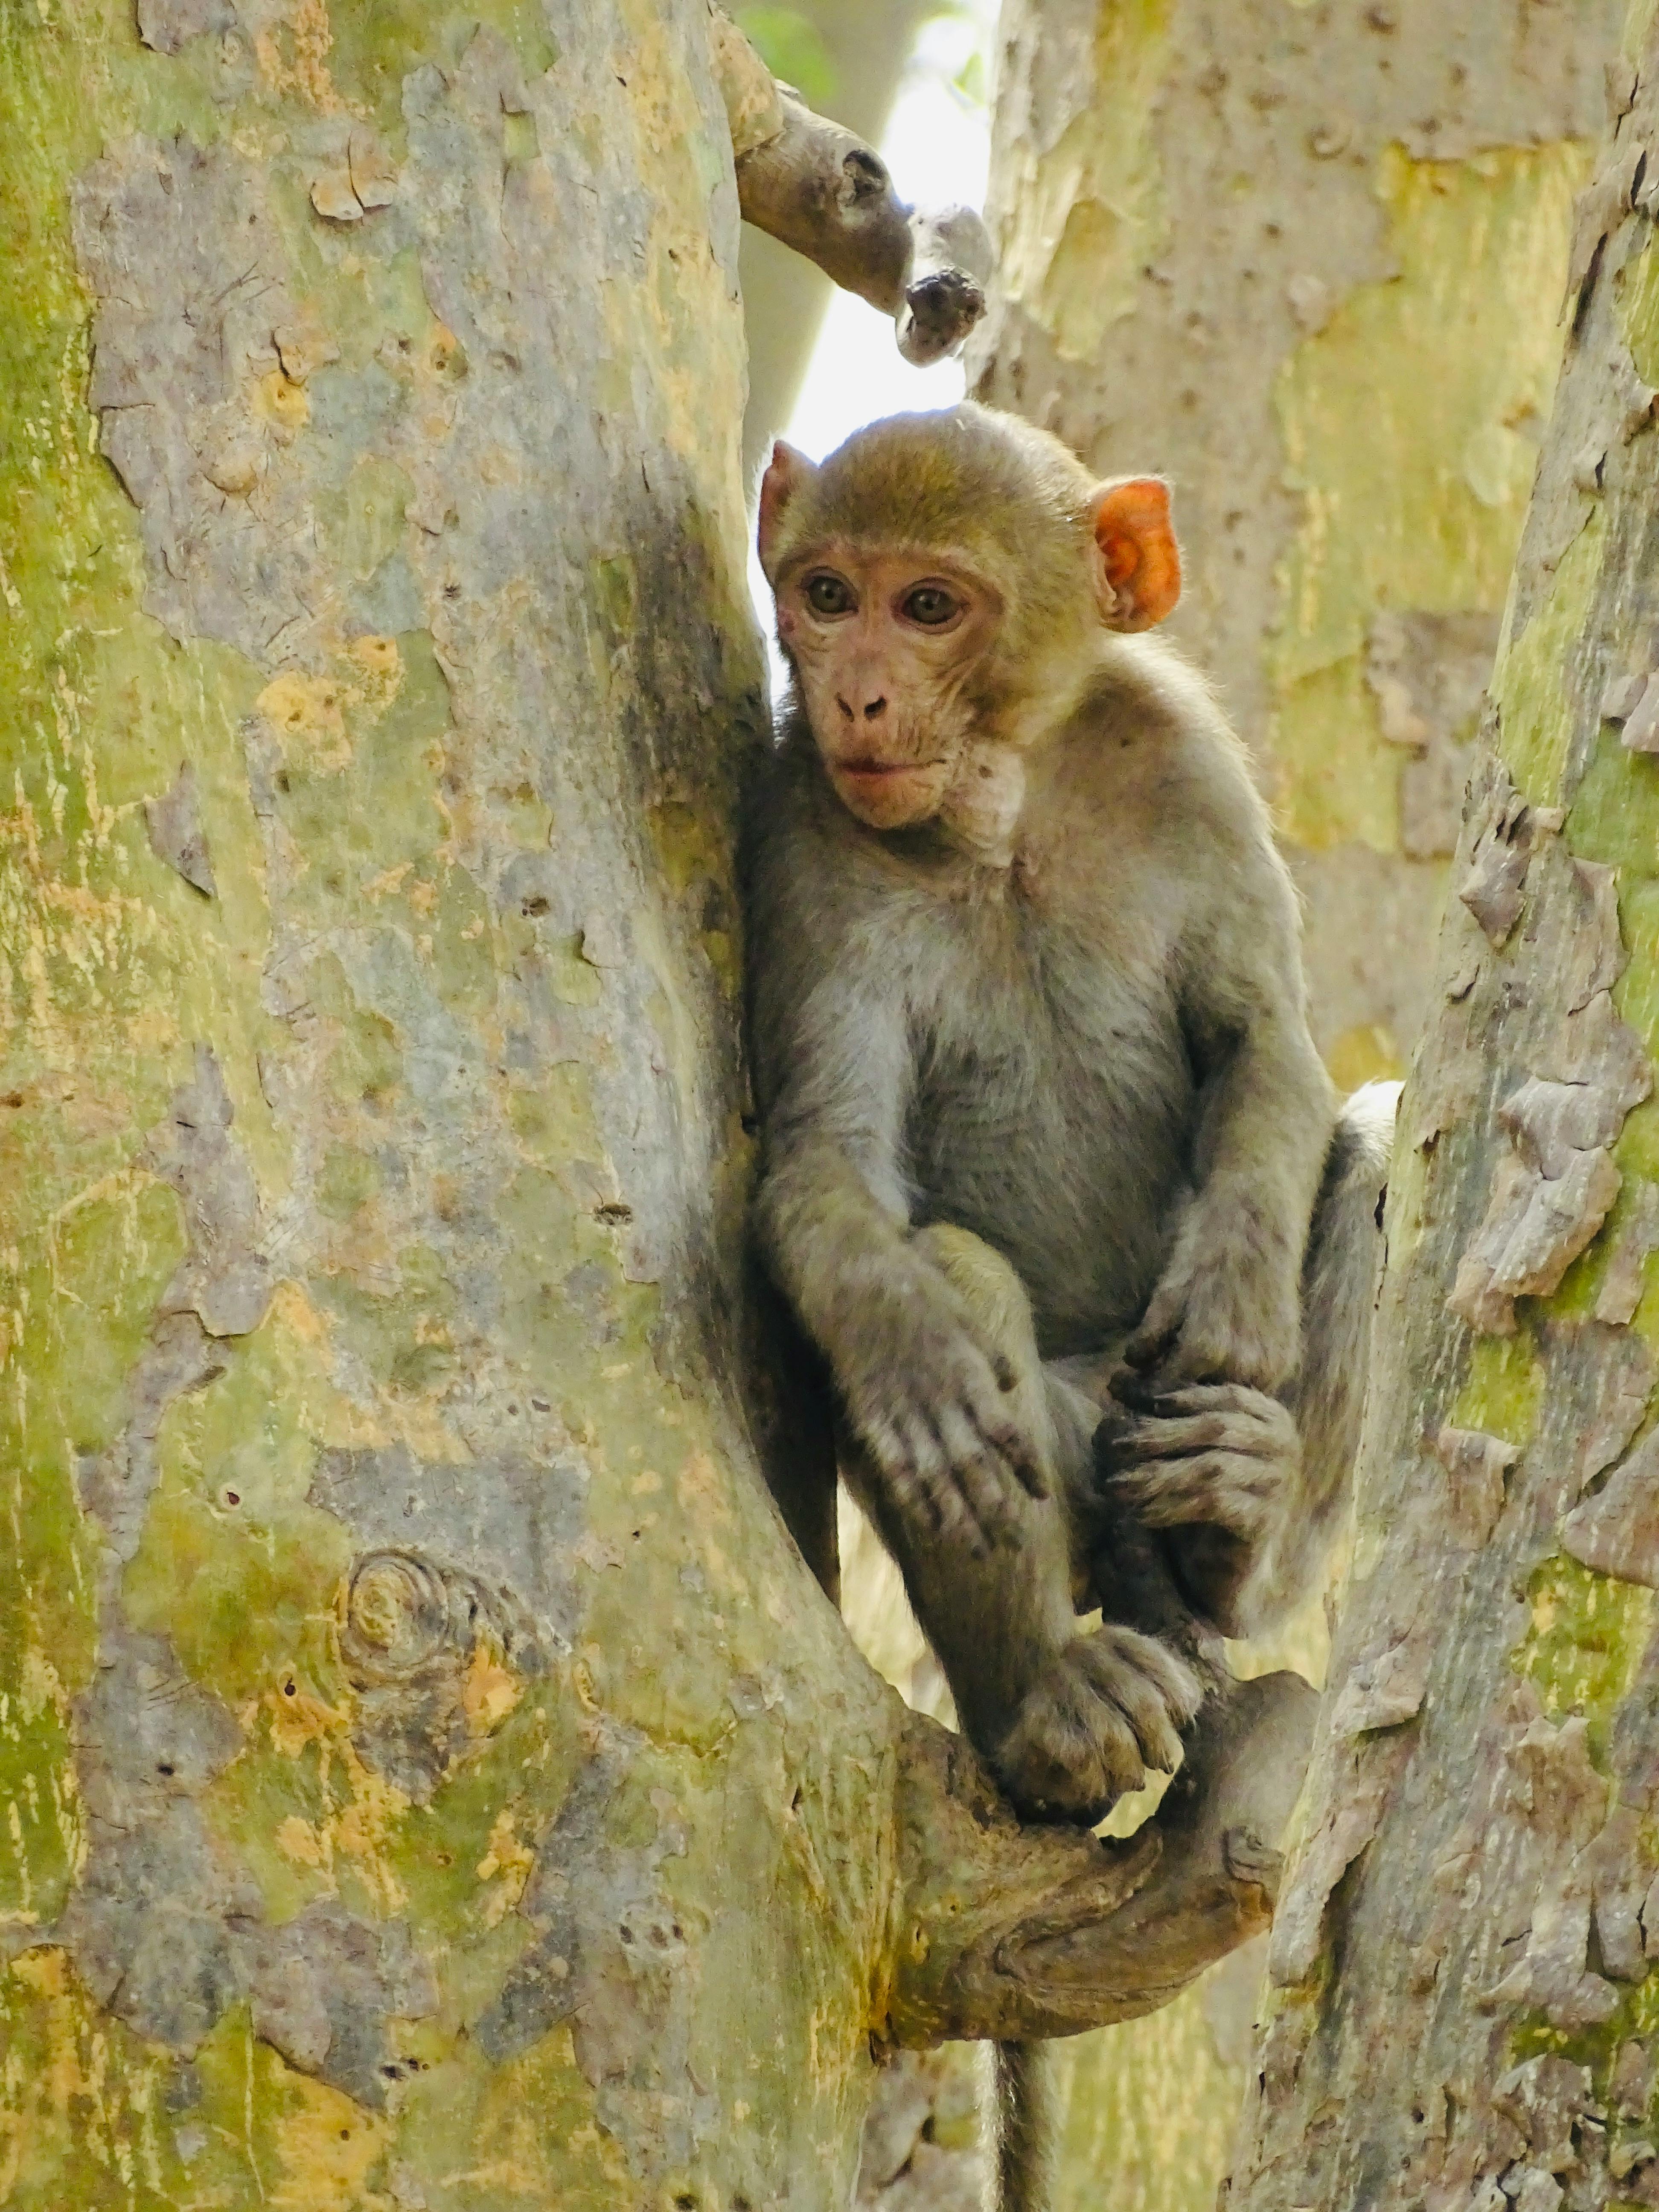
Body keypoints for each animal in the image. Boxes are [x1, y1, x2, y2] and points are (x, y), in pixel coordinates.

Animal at [739, 402, 1395, 2211]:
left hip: (1154, 1442)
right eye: (824, 593)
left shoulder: (1180, 761)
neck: (1001, 796)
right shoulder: (805, 845)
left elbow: (1263, 1043)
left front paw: (1232, 1296)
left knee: (1364, 1147)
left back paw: (1231, 1515)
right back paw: (1051, 1707)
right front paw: (906, 1353)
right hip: (1055, 1450)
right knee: (967, 1299)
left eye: (928, 607)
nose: (856, 695)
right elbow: (826, 1168)